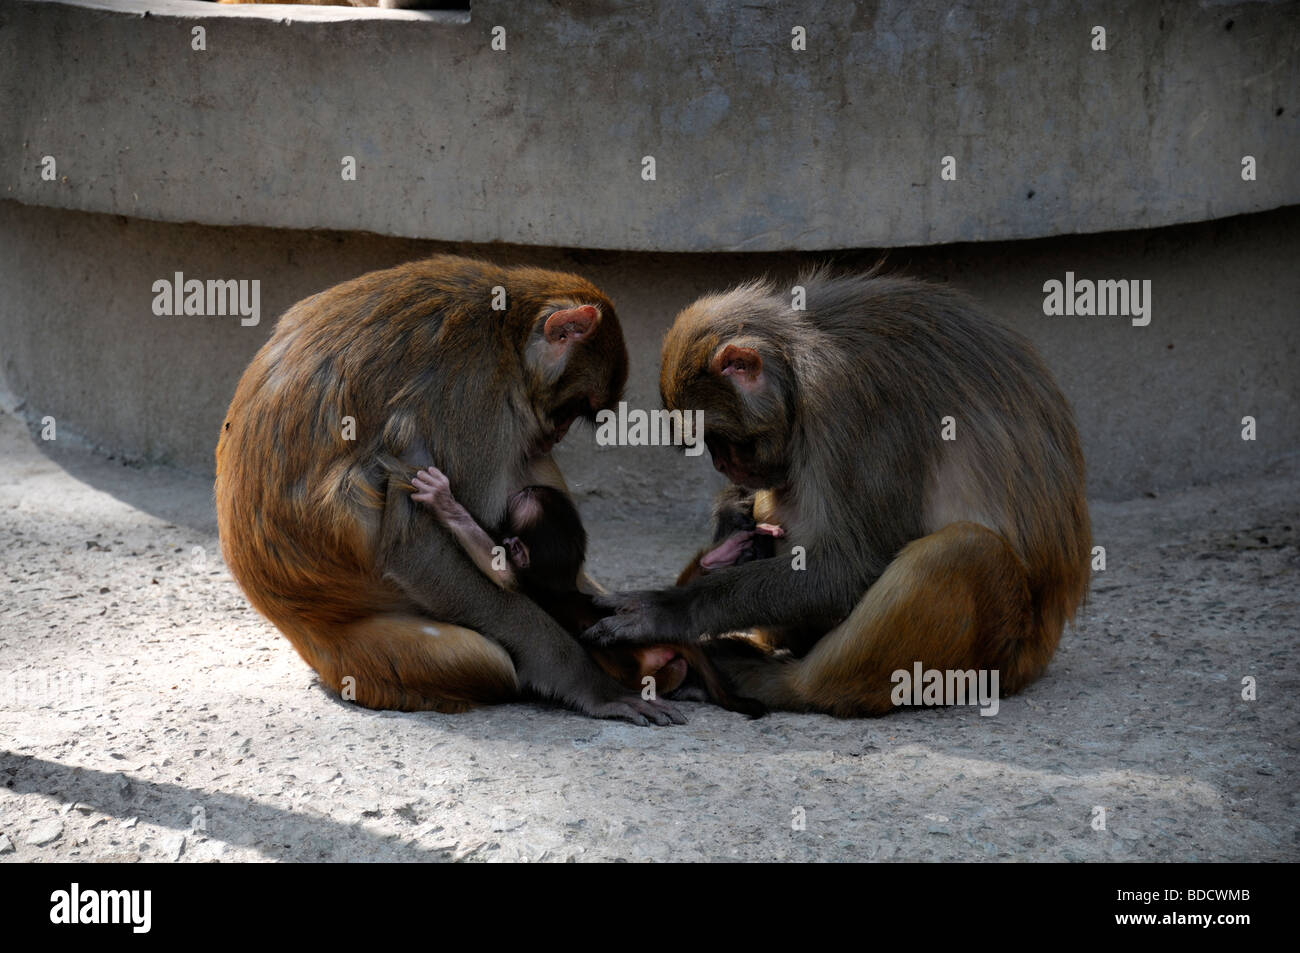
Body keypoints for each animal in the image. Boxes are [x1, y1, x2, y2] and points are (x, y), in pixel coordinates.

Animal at [215, 254, 685, 725]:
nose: (556, 435)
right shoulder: (473, 394)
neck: (507, 331)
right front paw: (592, 685)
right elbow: (423, 552)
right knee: (487, 658)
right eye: (572, 407)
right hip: (365, 659)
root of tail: (302, 633)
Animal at [406, 465, 767, 717]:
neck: (558, 582)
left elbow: (499, 570)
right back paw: (719, 557)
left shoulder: (530, 580)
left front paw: (445, 503)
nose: (521, 489)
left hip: (635, 666)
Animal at [581, 268, 1092, 717]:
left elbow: (849, 567)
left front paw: (671, 607)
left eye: (722, 440)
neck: (800, 348)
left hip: (1000, 652)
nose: (722, 465)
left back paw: (779, 682)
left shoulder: (851, 401)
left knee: (964, 551)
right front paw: (732, 517)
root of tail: (1041, 647)